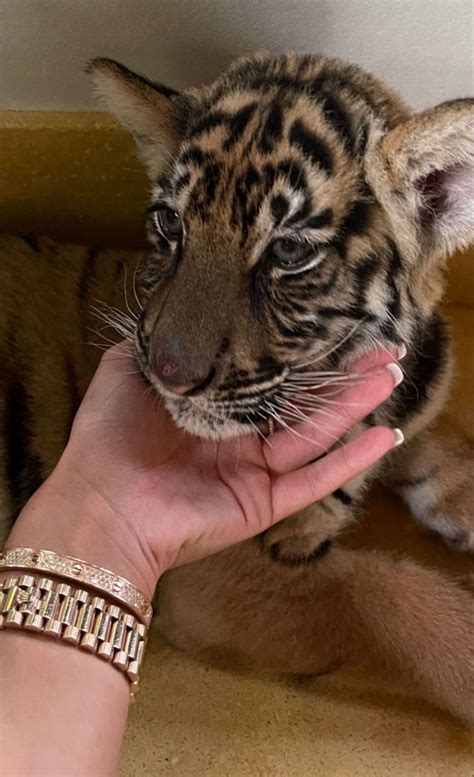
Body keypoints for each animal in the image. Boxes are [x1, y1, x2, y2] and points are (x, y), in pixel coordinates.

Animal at [1, 51, 473, 723]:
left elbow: (432, 435)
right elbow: (392, 594)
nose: (167, 374)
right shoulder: (211, 575)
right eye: (170, 222)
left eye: (290, 250)